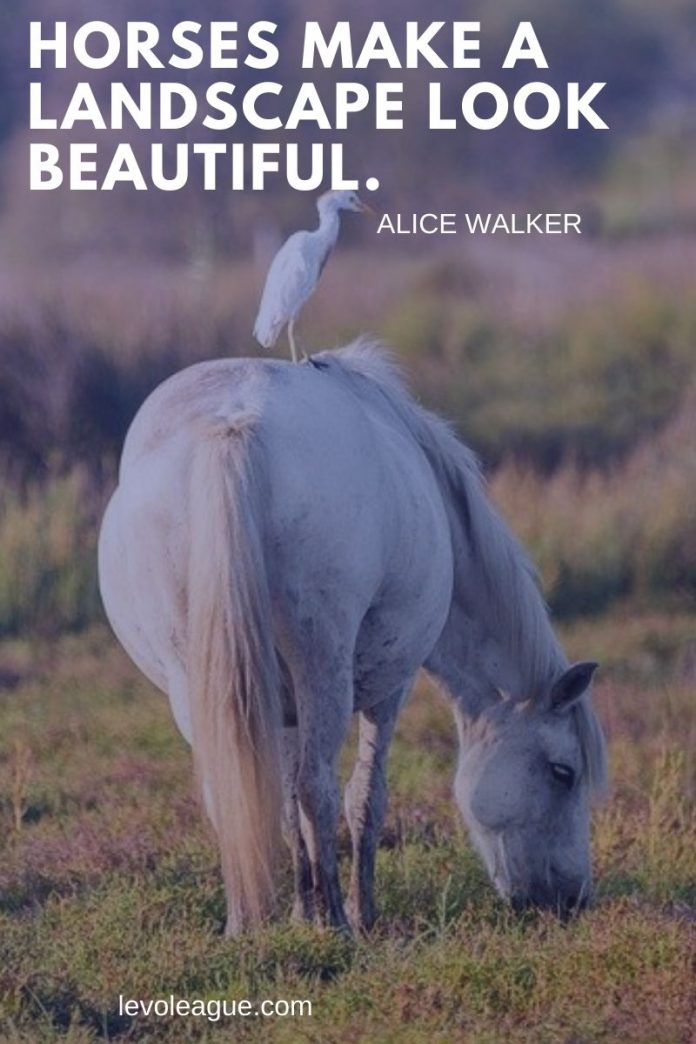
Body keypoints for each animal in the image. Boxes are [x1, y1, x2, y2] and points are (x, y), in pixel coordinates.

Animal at [98, 340, 607, 935]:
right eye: (563, 773)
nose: (571, 900)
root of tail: (235, 424)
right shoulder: (391, 688)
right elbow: (363, 797)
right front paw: (360, 913)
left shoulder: (279, 705)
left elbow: (284, 801)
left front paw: (301, 910)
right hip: (325, 668)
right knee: (319, 787)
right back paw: (338, 921)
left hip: (195, 684)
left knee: (240, 791)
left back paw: (248, 924)